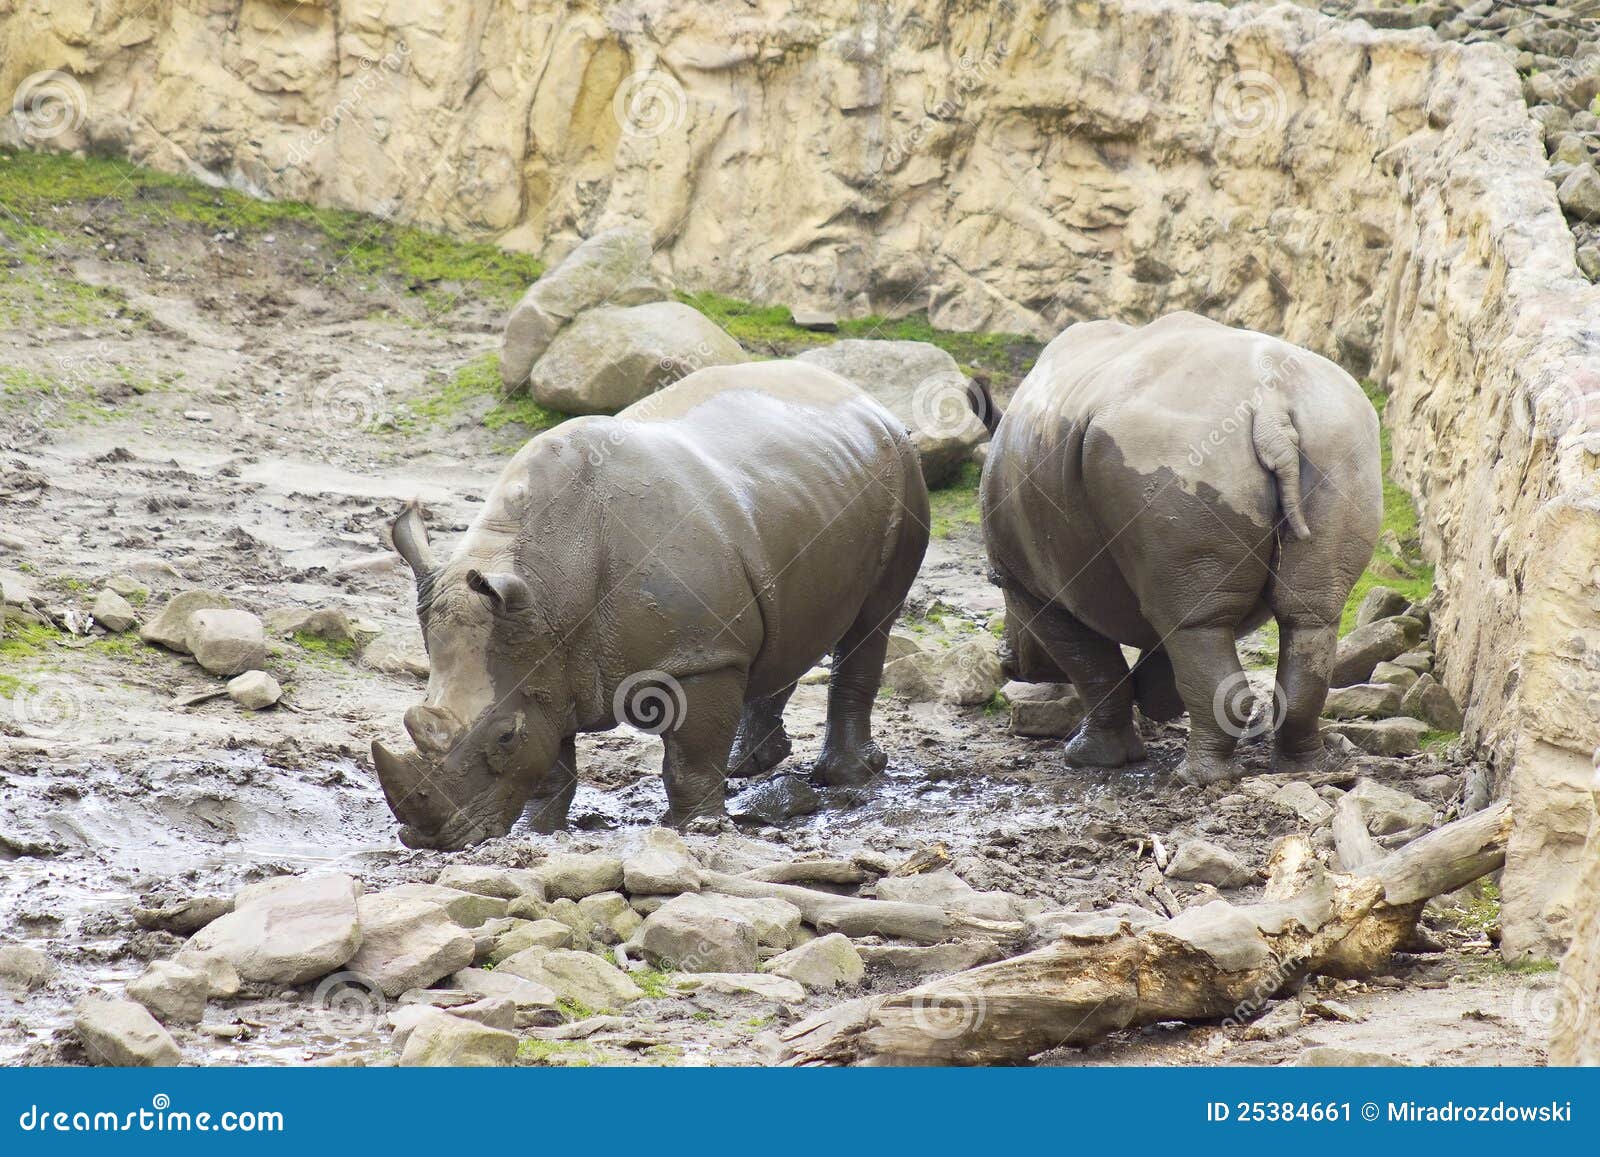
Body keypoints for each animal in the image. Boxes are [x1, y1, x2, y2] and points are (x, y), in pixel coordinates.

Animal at [373, 361, 930, 849]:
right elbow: (551, 756)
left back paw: (850, 775)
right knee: (783, 626)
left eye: (505, 737)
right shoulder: (543, 659)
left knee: (872, 621)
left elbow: (689, 760)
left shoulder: (699, 656)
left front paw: (697, 828)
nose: (433, 841)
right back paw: (748, 765)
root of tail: (863, 397)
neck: (550, 588)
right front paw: (539, 830)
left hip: (904, 468)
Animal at [979, 312, 1381, 785]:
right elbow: (1162, 643)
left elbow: (1092, 669)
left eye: (995, 585)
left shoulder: (1033, 587)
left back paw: (1195, 779)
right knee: (1302, 615)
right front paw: (1156, 703)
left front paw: (1090, 758)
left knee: (1191, 624)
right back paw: (1306, 768)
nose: (1007, 663)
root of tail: (1270, 405)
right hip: (1338, 438)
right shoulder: (1148, 563)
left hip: (1173, 448)